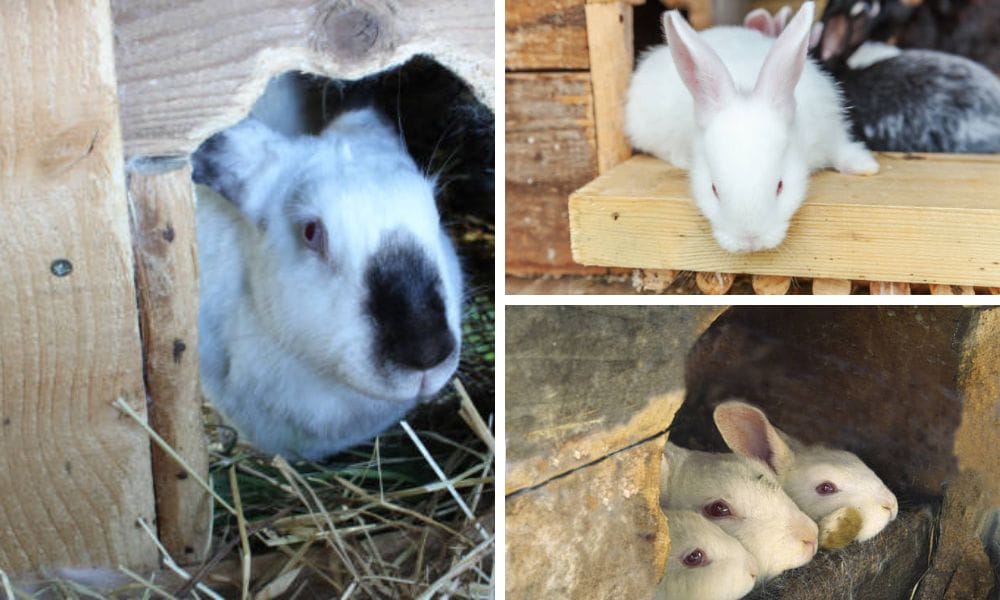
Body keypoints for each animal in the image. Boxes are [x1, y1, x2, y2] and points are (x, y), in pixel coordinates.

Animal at [624, 1, 878, 255]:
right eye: (714, 190)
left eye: (780, 186)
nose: (750, 241)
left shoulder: (828, 128)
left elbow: (841, 148)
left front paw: (865, 167)